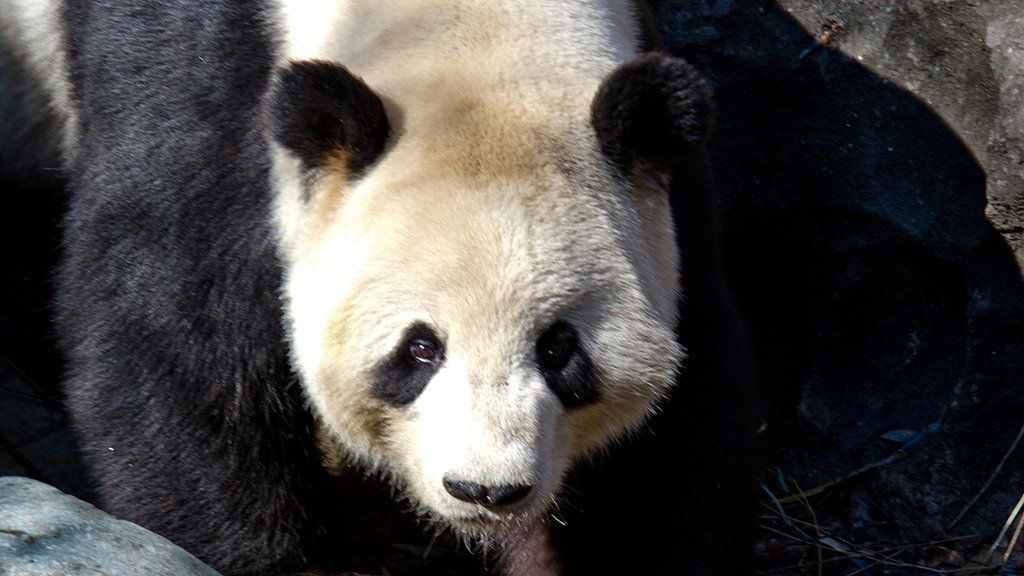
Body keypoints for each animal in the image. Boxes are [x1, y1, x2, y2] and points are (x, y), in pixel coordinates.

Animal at [2, 0, 757, 574]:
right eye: (420, 349)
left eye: (559, 349)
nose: (485, 489)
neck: (471, 40)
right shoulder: (203, 96)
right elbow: (172, 352)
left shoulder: (664, 189)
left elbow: (683, 423)